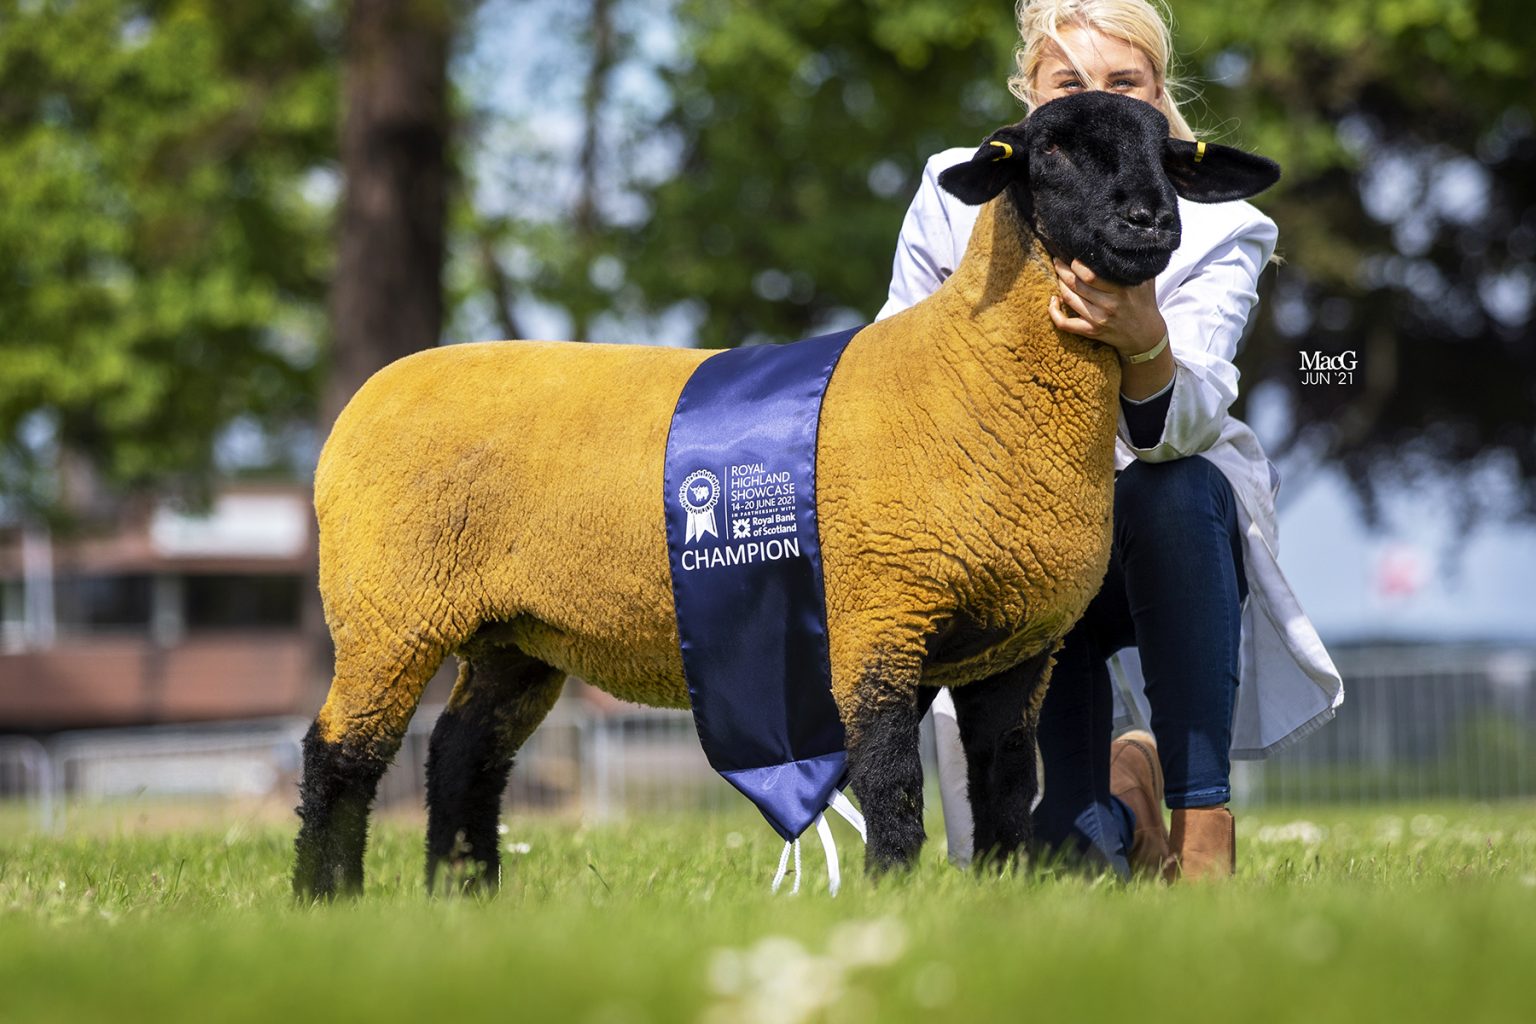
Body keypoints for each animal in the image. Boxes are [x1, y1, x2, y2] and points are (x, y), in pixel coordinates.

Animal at [292, 91, 1280, 899]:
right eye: (1054, 151)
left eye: (1170, 155)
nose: (1150, 220)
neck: (969, 373)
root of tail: (364, 402)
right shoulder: (878, 615)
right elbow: (891, 777)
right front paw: (893, 893)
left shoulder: (1017, 646)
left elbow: (1004, 778)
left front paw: (1000, 893)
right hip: (389, 606)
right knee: (342, 752)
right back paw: (328, 899)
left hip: (516, 631)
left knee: (463, 753)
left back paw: (464, 897)